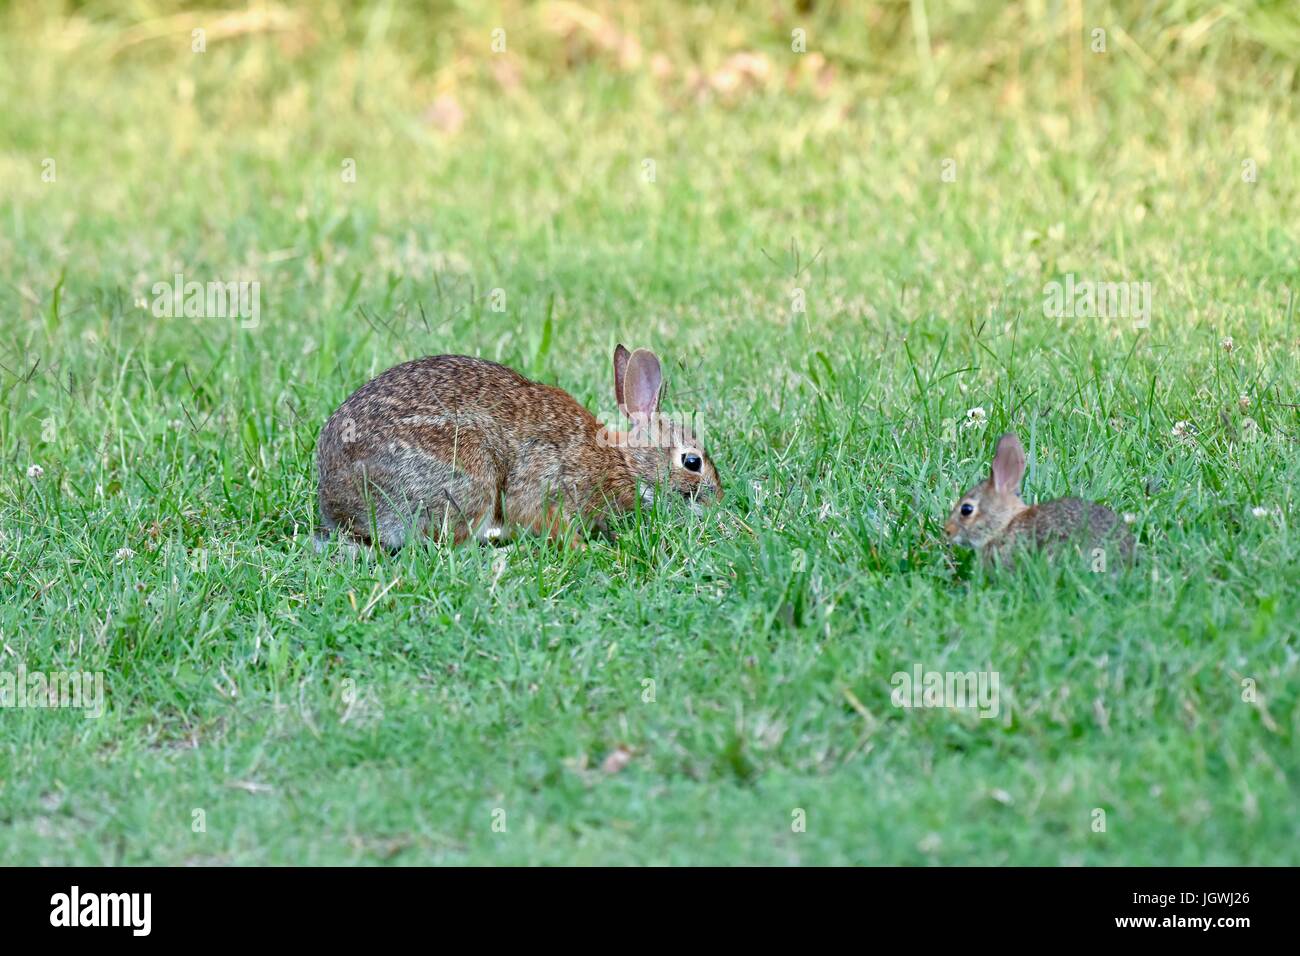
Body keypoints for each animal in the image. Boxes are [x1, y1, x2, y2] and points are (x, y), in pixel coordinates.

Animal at [315, 344, 722, 551]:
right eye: (692, 461)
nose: (717, 501)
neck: (620, 462)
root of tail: (337, 503)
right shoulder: (553, 483)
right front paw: (582, 547)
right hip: (469, 477)